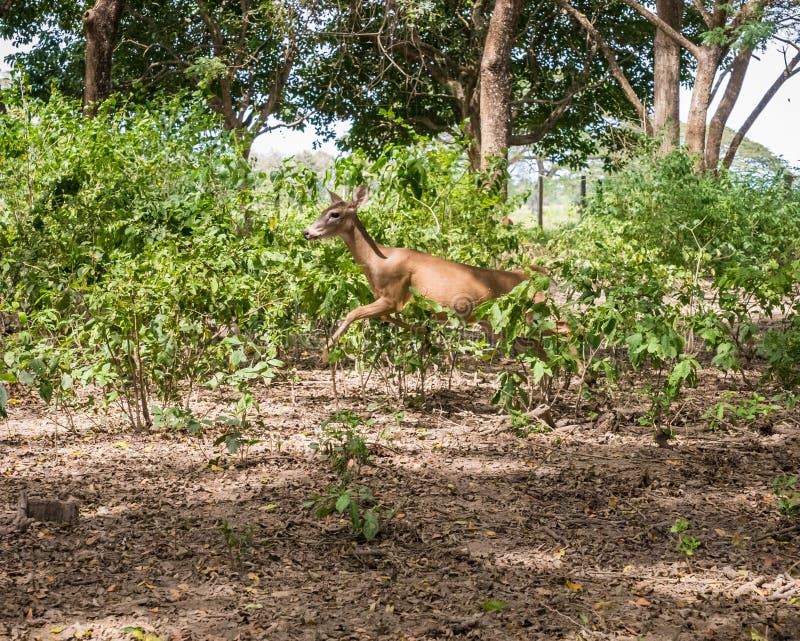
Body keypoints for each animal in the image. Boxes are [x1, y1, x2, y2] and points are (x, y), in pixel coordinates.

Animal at [302, 185, 550, 350]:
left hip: (532, 316)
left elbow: (354, 312)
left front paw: (325, 352)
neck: (377, 263)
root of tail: (531, 277)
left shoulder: (393, 296)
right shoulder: (390, 300)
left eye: (334, 214)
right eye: (323, 211)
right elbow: (386, 318)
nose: (307, 232)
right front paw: (424, 330)